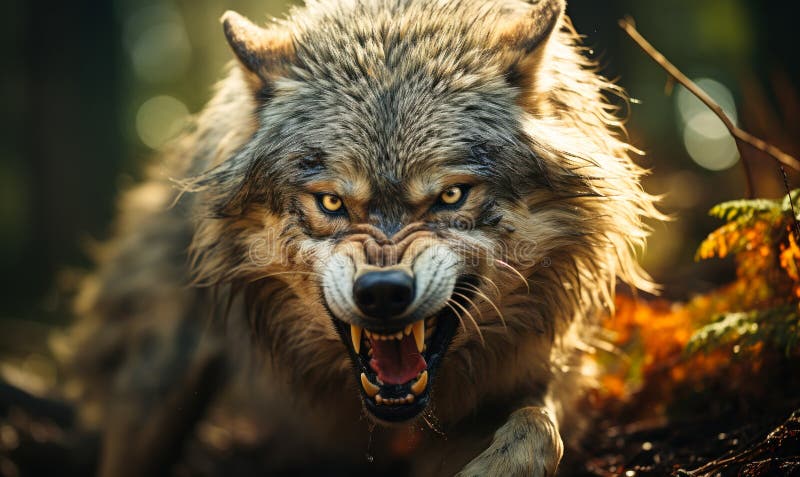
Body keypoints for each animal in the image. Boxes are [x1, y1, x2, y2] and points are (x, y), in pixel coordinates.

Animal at [65, 0, 660, 475]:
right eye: (331, 202)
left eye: (451, 196)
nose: (383, 292)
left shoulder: (547, 366)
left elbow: (540, 431)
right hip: (156, 385)